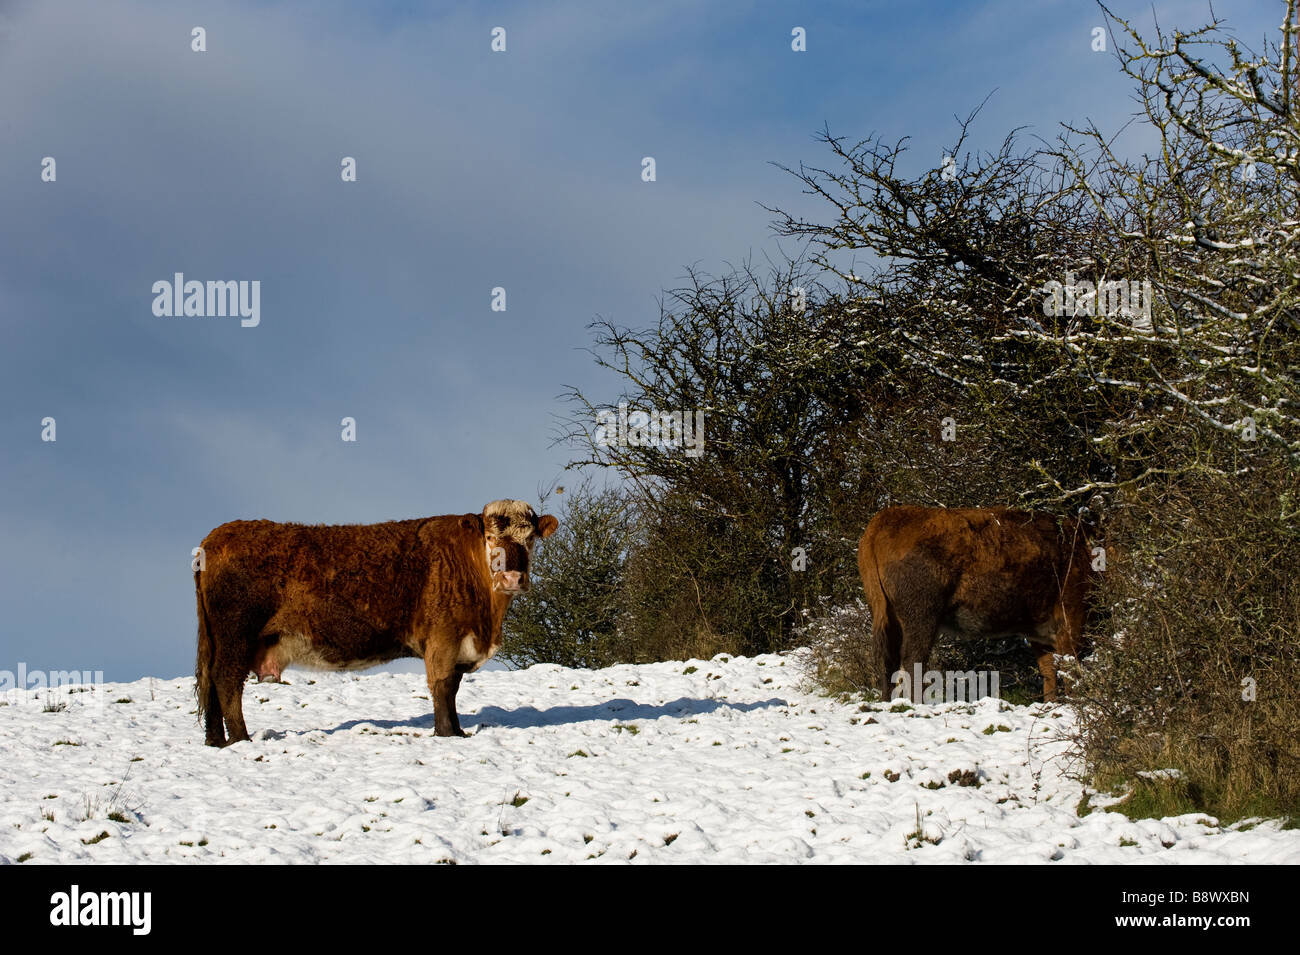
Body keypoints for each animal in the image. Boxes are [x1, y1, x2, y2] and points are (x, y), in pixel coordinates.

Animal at [194, 499, 558, 746]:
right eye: (491, 538)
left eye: (530, 539)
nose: (513, 577)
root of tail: (217, 535)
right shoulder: (443, 639)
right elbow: (442, 687)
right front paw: (446, 734)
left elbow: (452, 688)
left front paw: (458, 731)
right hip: (236, 636)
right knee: (226, 681)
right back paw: (240, 739)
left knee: (209, 682)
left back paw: (215, 741)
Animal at [857, 505, 1094, 703]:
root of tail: (886, 517)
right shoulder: (1072, 621)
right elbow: (1069, 669)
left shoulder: (1041, 635)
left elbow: (1049, 671)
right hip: (921, 617)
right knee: (912, 659)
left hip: (890, 616)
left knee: (889, 660)